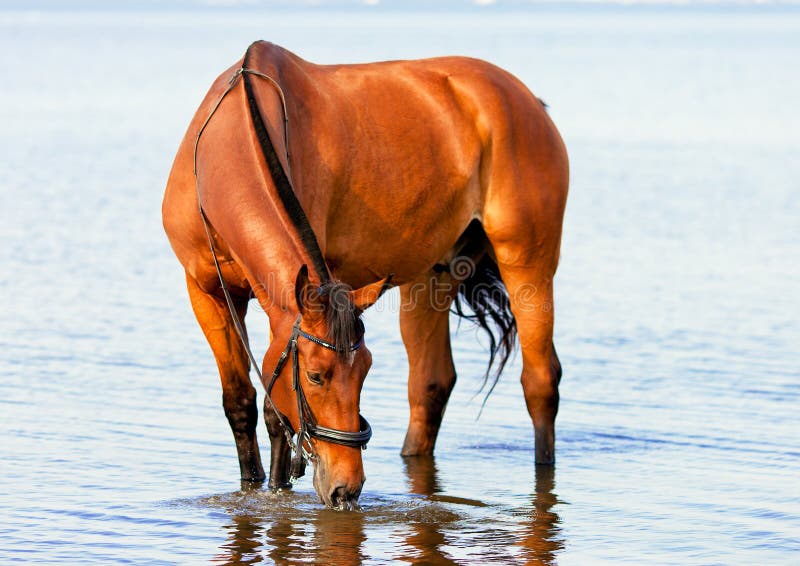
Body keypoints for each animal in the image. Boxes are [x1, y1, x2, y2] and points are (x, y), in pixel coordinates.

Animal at [162, 41, 568, 509]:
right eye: (316, 375)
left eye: (367, 370)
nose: (347, 488)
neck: (223, 153)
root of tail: (527, 101)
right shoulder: (205, 290)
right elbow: (241, 403)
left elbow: (273, 414)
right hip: (429, 279)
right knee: (431, 384)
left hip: (529, 265)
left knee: (540, 382)